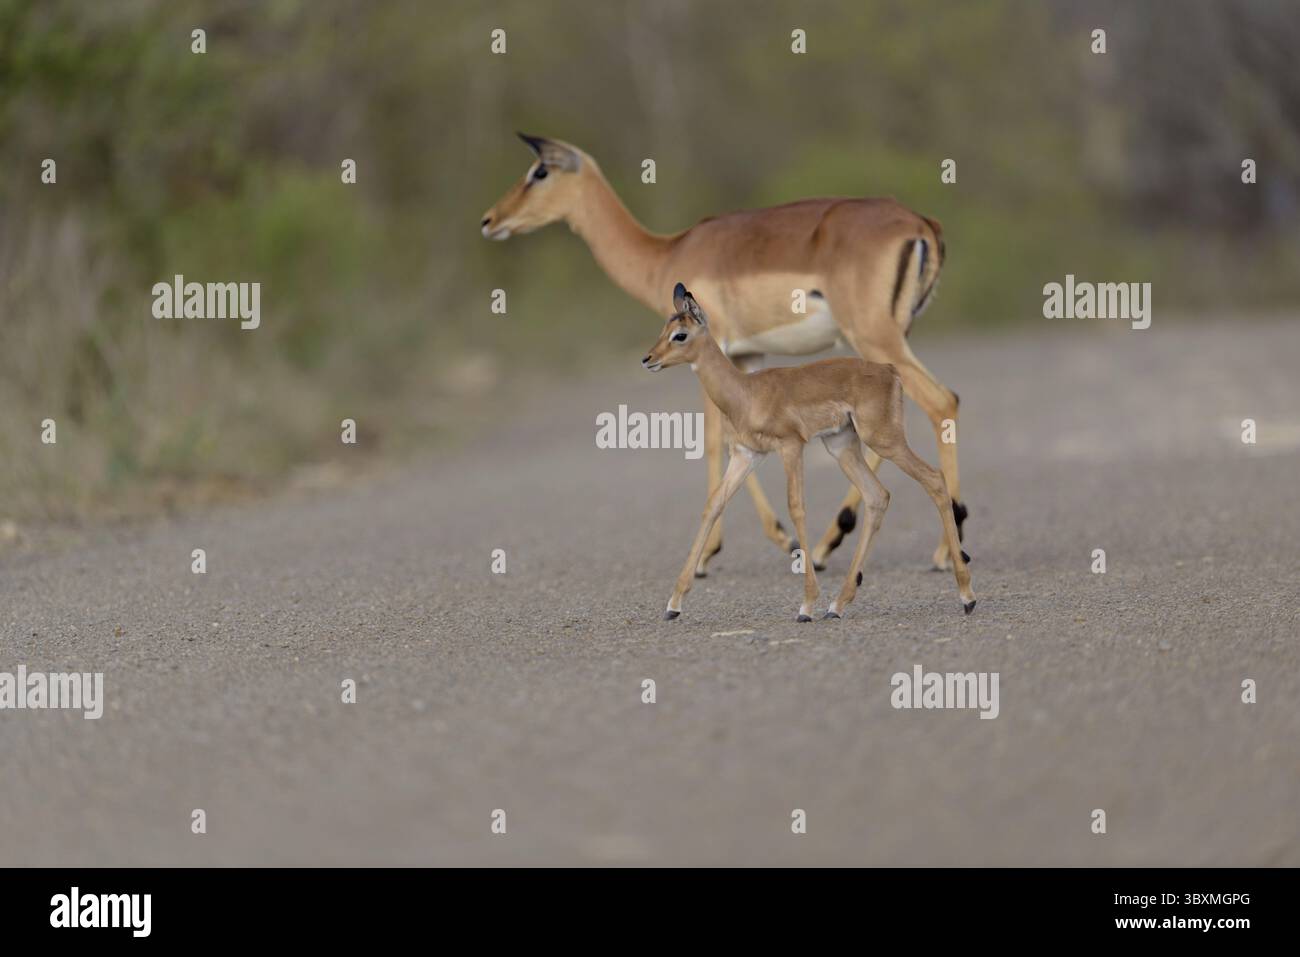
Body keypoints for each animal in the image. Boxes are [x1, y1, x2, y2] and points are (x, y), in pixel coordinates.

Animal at [481, 133, 969, 575]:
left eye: (539, 172)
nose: (489, 219)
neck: (667, 253)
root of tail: (921, 224)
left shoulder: (714, 352)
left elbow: (715, 437)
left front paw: (718, 553)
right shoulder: (748, 356)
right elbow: (734, 436)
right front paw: (780, 541)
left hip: (875, 337)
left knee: (940, 401)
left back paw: (945, 550)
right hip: (886, 342)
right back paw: (837, 542)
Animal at [644, 284, 974, 622]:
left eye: (680, 334)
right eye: (664, 328)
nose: (648, 359)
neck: (745, 393)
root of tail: (889, 371)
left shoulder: (790, 446)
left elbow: (796, 507)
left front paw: (806, 605)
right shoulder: (745, 454)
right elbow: (713, 505)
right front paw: (673, 604)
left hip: (884, 439)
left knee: (934, 479)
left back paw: (967, 596)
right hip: (843, 446)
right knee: (878, 496)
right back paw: (837, 605)